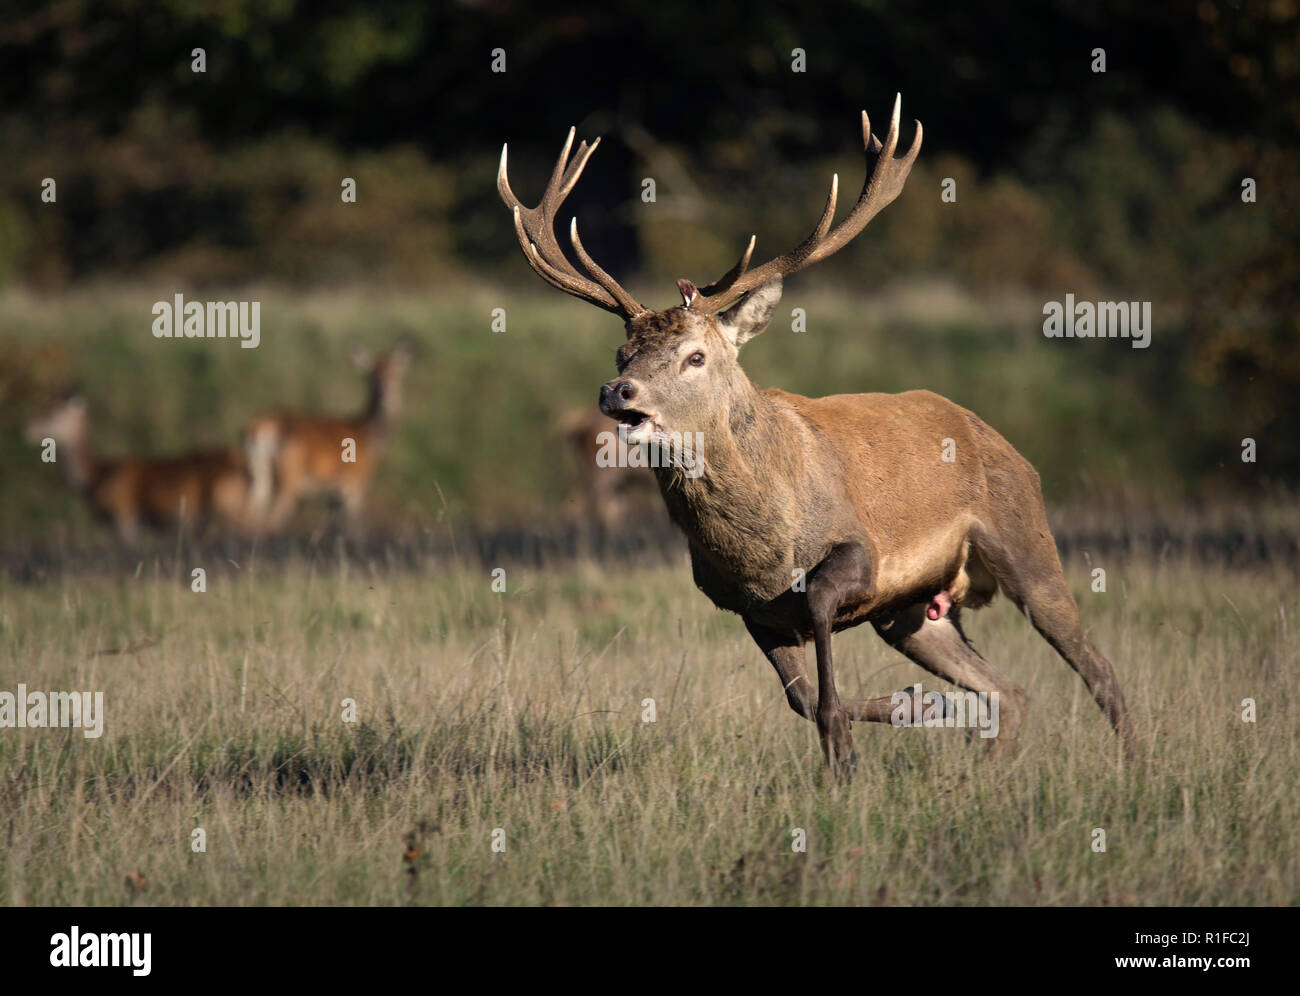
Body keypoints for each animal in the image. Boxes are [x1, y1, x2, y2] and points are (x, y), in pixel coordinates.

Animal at [24, 394, 258, 543]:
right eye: (44, 406)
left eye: (53, 413)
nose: (28, 428)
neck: (95, 476)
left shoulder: (124, 517)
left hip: (230, 511)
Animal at [242, 342, 414, 532]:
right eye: (371, 377)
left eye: (396, 374)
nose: (385, 396)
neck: (370, 436)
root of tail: (258, 429)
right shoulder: (355, 485)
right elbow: (353, 528)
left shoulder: (333, 497)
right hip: (290, 477)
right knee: (272, 517)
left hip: (259, 475)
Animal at [499, 95, 1139, 777]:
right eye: (623, 353)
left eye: (695, 356)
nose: (616, 392)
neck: (760, 549)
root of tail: (1004, 443)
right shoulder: (747, 608)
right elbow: (800, 700)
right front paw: (915, 707)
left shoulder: (857, 552)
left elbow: (822, 647)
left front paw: (847, 753)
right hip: (913, 613)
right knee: (1009, 691)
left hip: (1026, 542)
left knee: (1097, 667)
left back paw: (1135, 765)